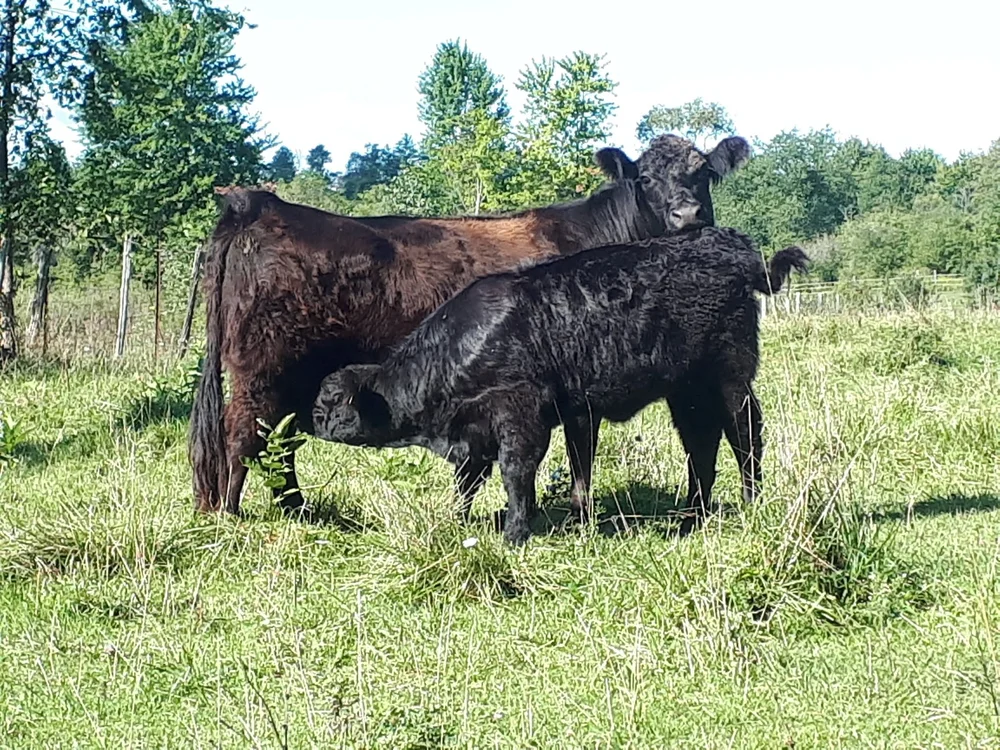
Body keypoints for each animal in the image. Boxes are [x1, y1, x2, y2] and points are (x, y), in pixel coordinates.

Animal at [189, 135, 752, 516]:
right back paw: (231, 517)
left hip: (296, 378)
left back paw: (296, 510)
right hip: (263, 370)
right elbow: (580, 452)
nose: (688, 215)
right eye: (645, 179)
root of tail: (257, 204)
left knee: (278, 445)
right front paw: (579, 515)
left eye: (703, 173)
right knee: (242, 437)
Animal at [311, 228, 809, 544]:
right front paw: (461, 522)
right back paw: (691, 517)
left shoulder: (519, 415)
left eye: (330, 400)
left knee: (745, 432)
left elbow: (517, 474)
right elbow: (473, 482)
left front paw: (515, 534)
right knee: (700, 443)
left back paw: (749, 501)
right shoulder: (486, 434)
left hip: (728, 375)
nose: (310, 419)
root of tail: (728, 242)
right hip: (685, 390)